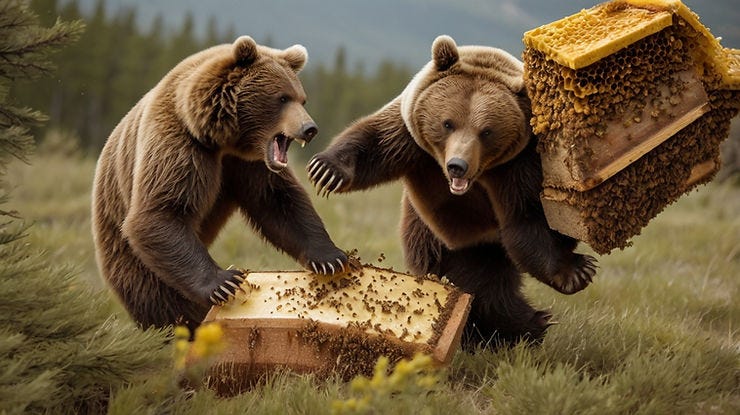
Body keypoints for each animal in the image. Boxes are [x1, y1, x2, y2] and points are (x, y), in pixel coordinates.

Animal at [92, 36, 348, 333]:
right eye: (282, 98)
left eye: (302, 98)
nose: (310, 128)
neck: (224, 140)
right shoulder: (181, 146)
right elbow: (160, 212)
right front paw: (225, 281)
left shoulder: (250, 164)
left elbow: (278, 202)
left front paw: (331, 257)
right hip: (120, 239)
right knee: (155, 293)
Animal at [307, 35, 597, 346]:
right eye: (448, 123)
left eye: (487, 131)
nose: (458, 165)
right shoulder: (411, 134)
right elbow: (375, 140)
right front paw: (325, 170)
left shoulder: (520, 164)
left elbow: (529, 217)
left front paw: (576, 271)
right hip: (438, 237)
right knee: (475, 280)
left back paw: (526, 325)